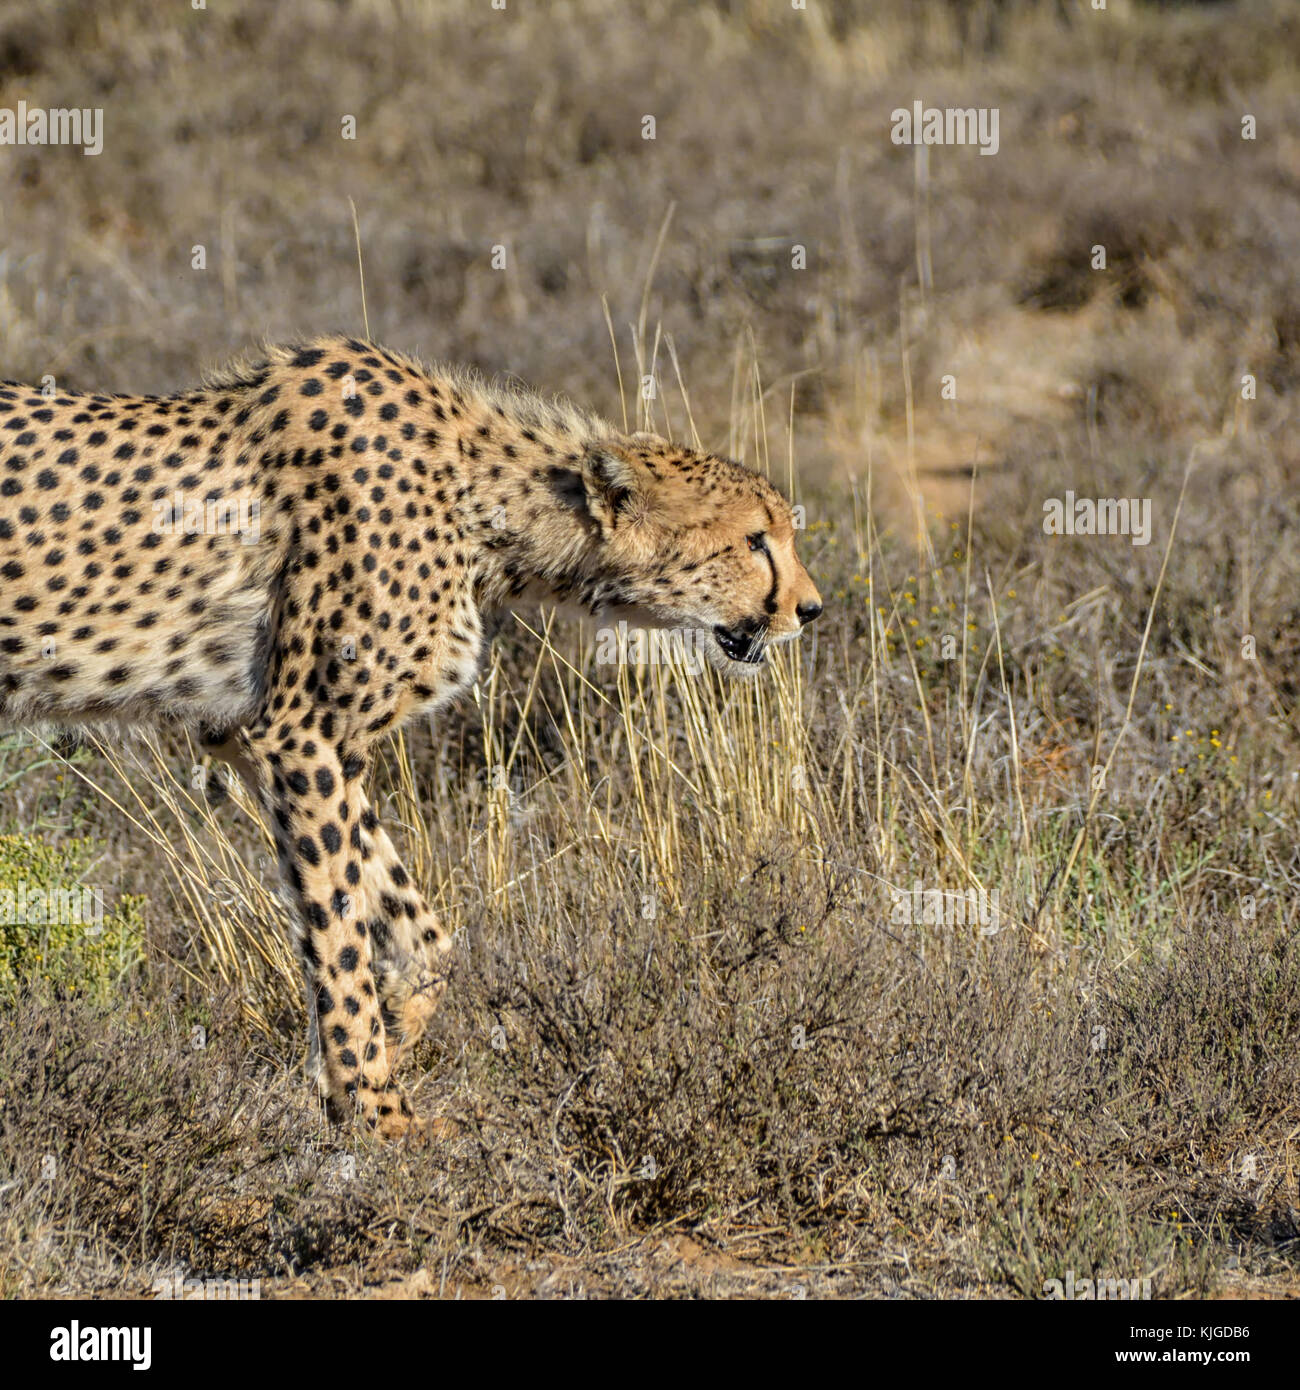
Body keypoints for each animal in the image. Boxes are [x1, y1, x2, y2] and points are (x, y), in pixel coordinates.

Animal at [0, 335, 823, 1137]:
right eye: (756, 540)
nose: (810, 609)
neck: (480, 503)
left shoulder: (265, 736)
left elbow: (415, 923)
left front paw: (392, 1030)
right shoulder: (297, 734)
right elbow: (338, 934)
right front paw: (377, 1111)